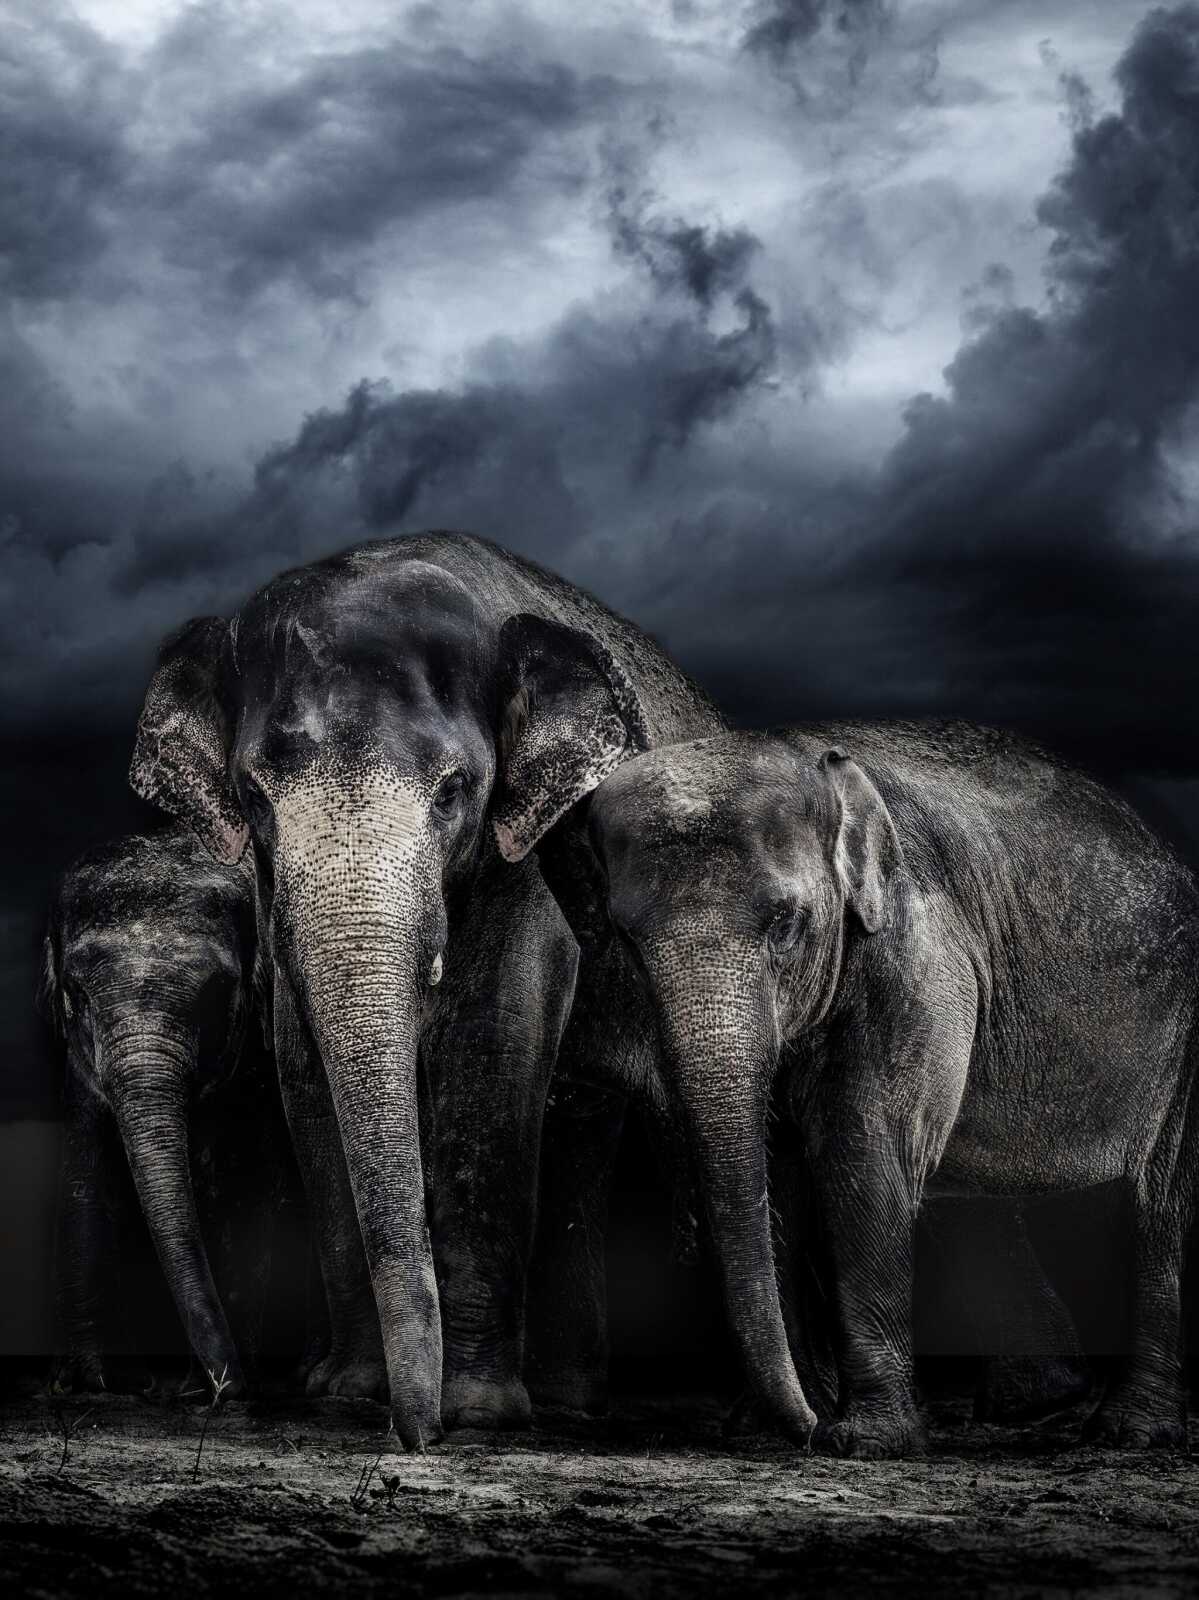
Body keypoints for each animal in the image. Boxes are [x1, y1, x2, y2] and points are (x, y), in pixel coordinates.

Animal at [41, 825, 271, 1399]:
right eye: (77, 996)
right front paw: (91, 1383)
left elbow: (241, 1180)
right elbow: (85, 1175)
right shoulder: (81, 1062)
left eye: (216, 993)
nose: (227, 1388)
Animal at [127, 531, 718, 1448]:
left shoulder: (530, 849)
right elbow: (304, 1069)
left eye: (453, 791)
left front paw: (475, 1411)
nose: (416, 1436)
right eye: (254, 795)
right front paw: (350, 1395)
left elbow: (493, 1045)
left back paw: (559, 1404)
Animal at [579, 720, 1199, 1455]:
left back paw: (1126, 1433)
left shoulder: (917, 954)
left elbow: (864, 1150)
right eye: (624, 938)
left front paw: (863, 1441)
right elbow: (779, 1169)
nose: (807, 1427)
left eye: (786, 925)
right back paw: (1038, 1406)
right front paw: (767, 1430)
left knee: (1161, 1204)